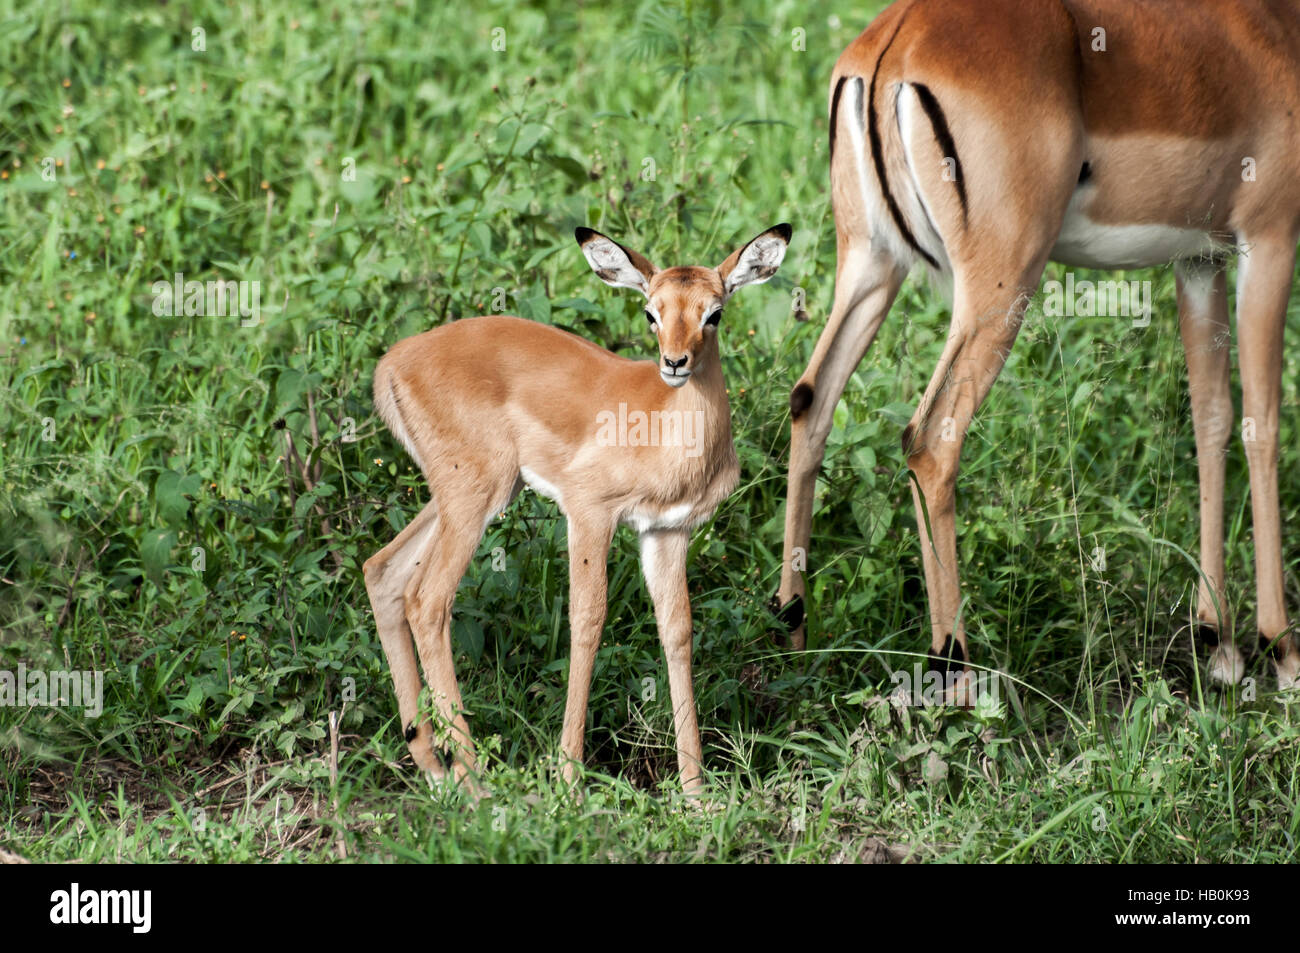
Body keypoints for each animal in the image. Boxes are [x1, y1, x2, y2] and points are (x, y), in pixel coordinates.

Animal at [363, 223, 791, 792]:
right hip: (475, 496)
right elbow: (587, 621)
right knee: (427, 600)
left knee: (383, 571)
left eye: (714, 312)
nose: (675, 363)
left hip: (469, 495)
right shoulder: (589, 514)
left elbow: (677, 631)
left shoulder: (666, 532)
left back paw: (433, 765)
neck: (663, 426)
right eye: (650, 311)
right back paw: (474, 780)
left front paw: (697, 791)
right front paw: (568, 776)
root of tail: (393, 362)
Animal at [774, 0, 1300, 691]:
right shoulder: (1269, 240)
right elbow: (1262, 426)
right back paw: (955, 669)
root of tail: (896, 39)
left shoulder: (1199, 258)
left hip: (871, 262)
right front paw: (1280, 649)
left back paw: (793, 635)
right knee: (929, 441)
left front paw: (1217, 643)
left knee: (811, 400)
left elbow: (1210, 420)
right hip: (999, 286)